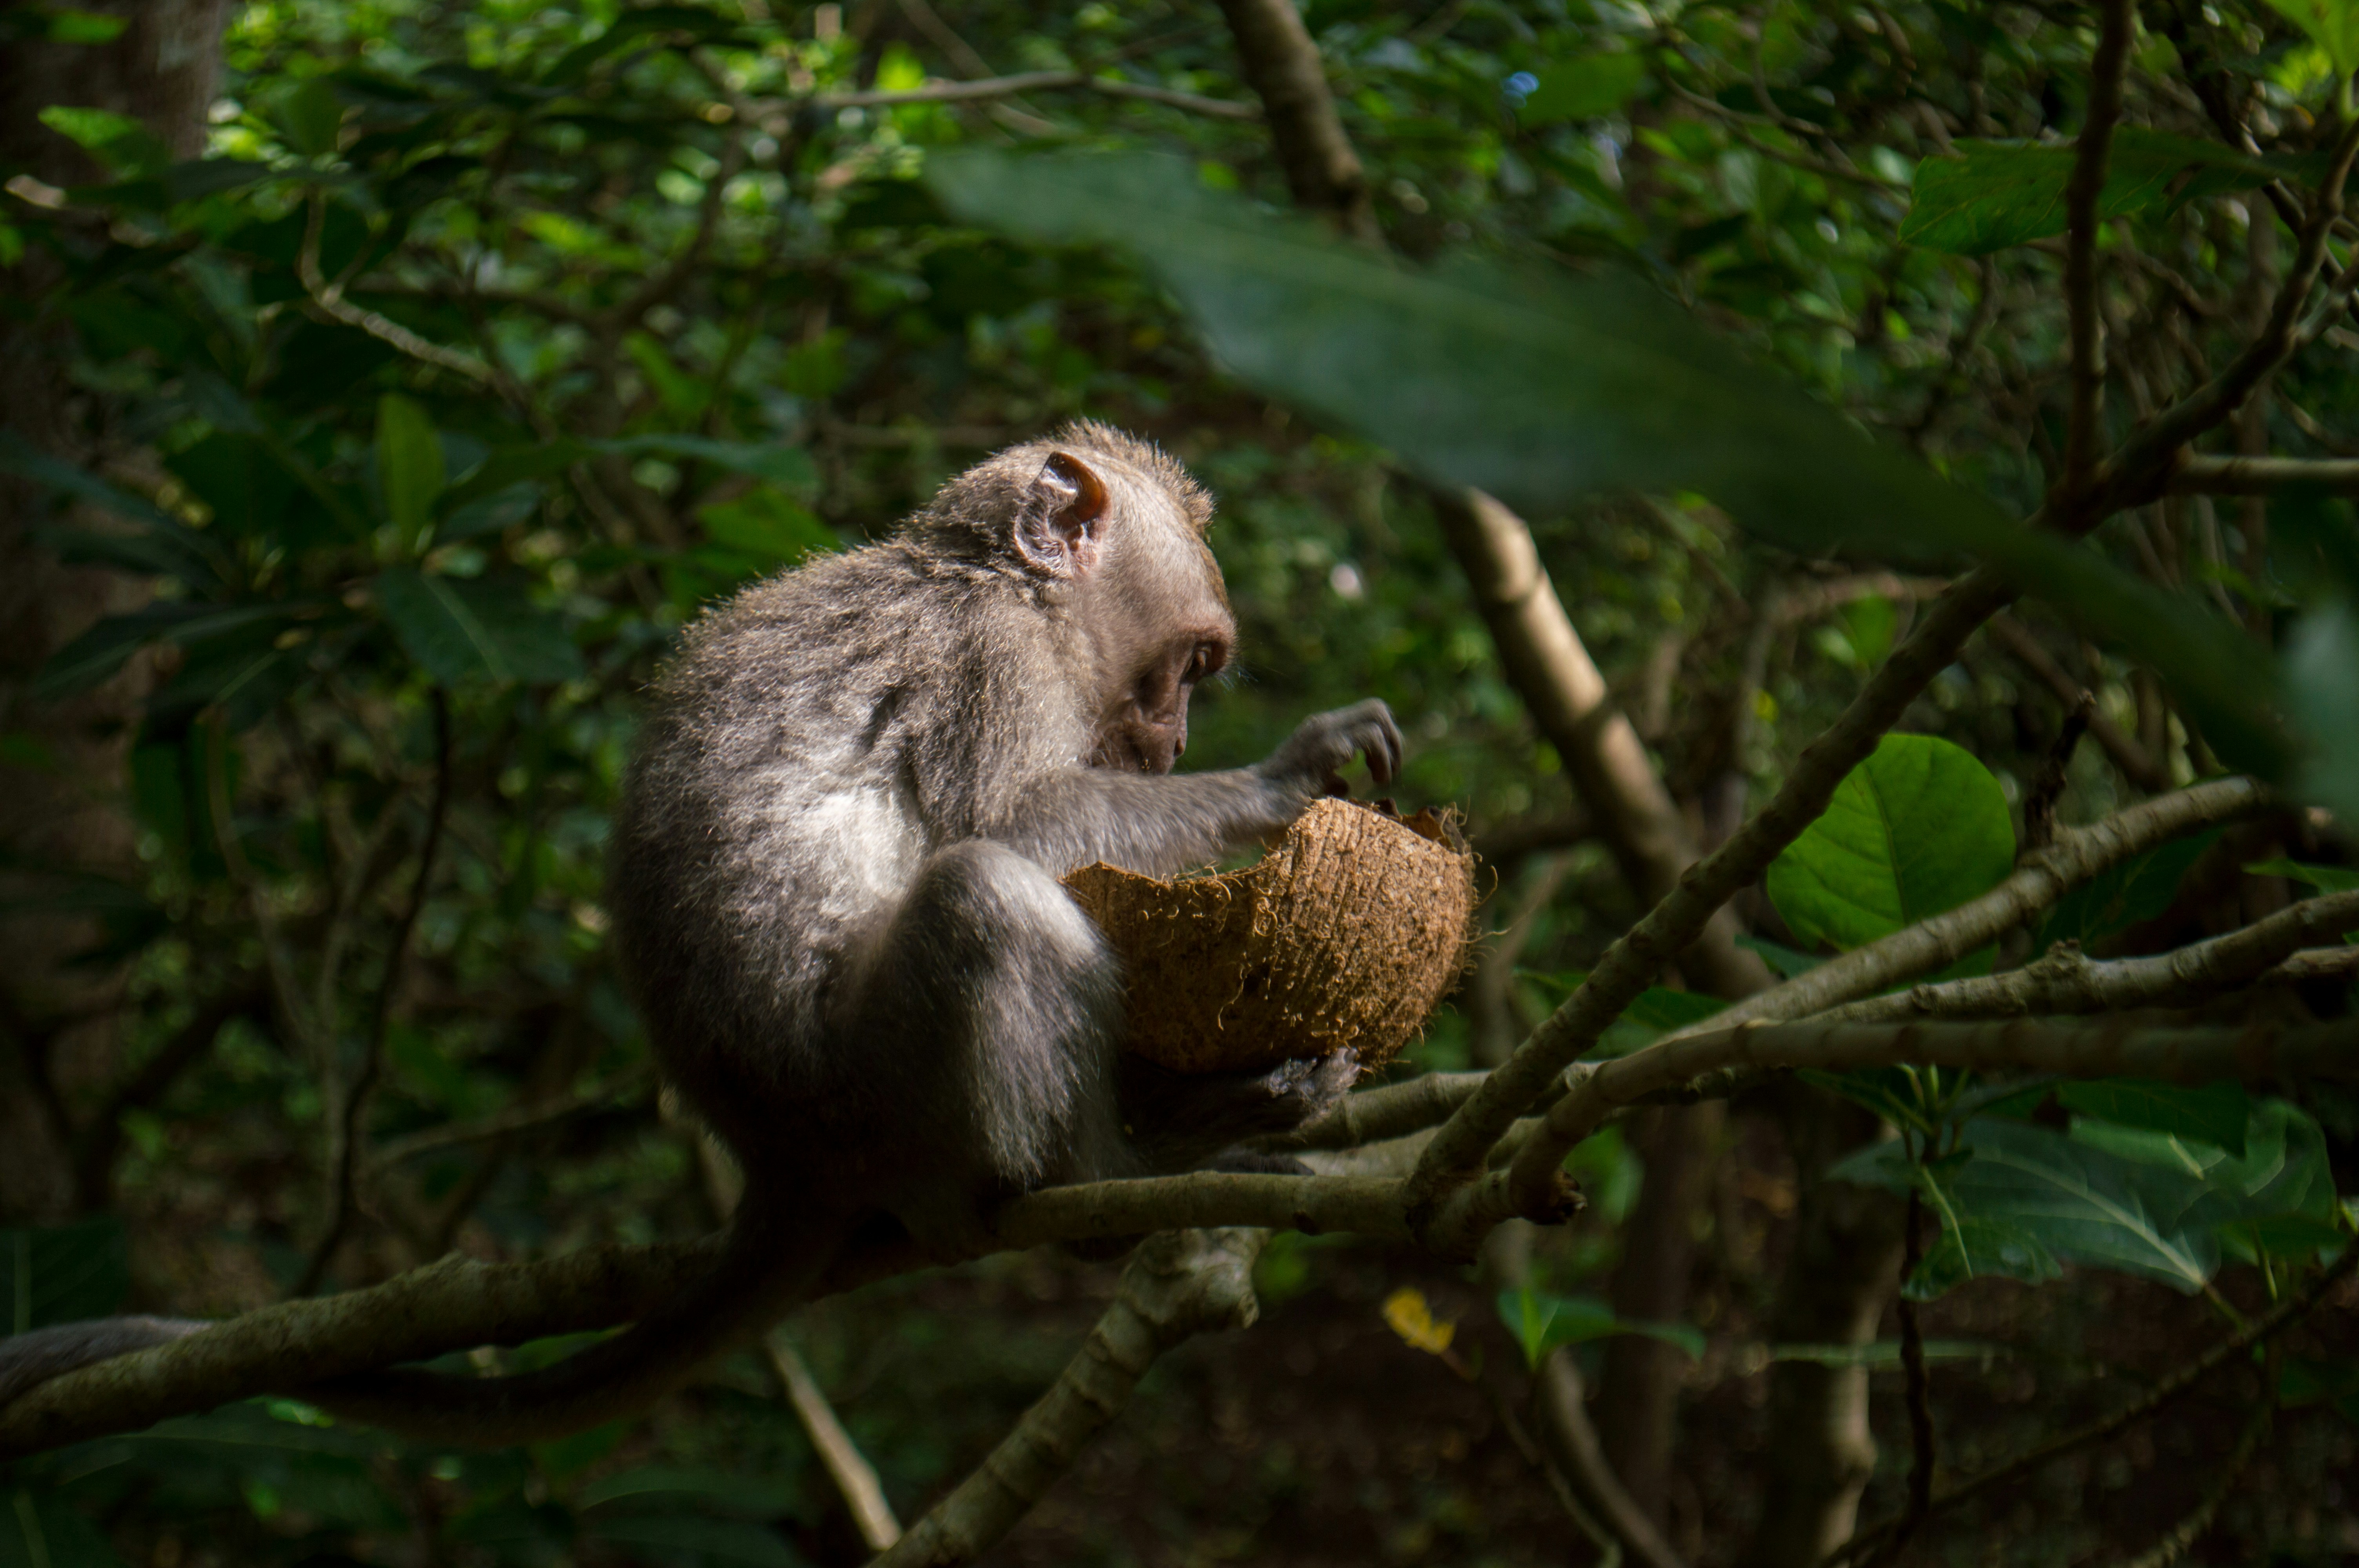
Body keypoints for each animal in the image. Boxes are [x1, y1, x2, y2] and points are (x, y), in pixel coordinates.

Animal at [0, 424, 1403, 1445]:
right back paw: (1105, 1184)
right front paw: (1279, 779)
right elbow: (1019, 820)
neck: (990, 580)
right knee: (982, 896)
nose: (1172, 741)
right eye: (1192, 665)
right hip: (878, 1096)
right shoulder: (991, 662)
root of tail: (775, 1162)